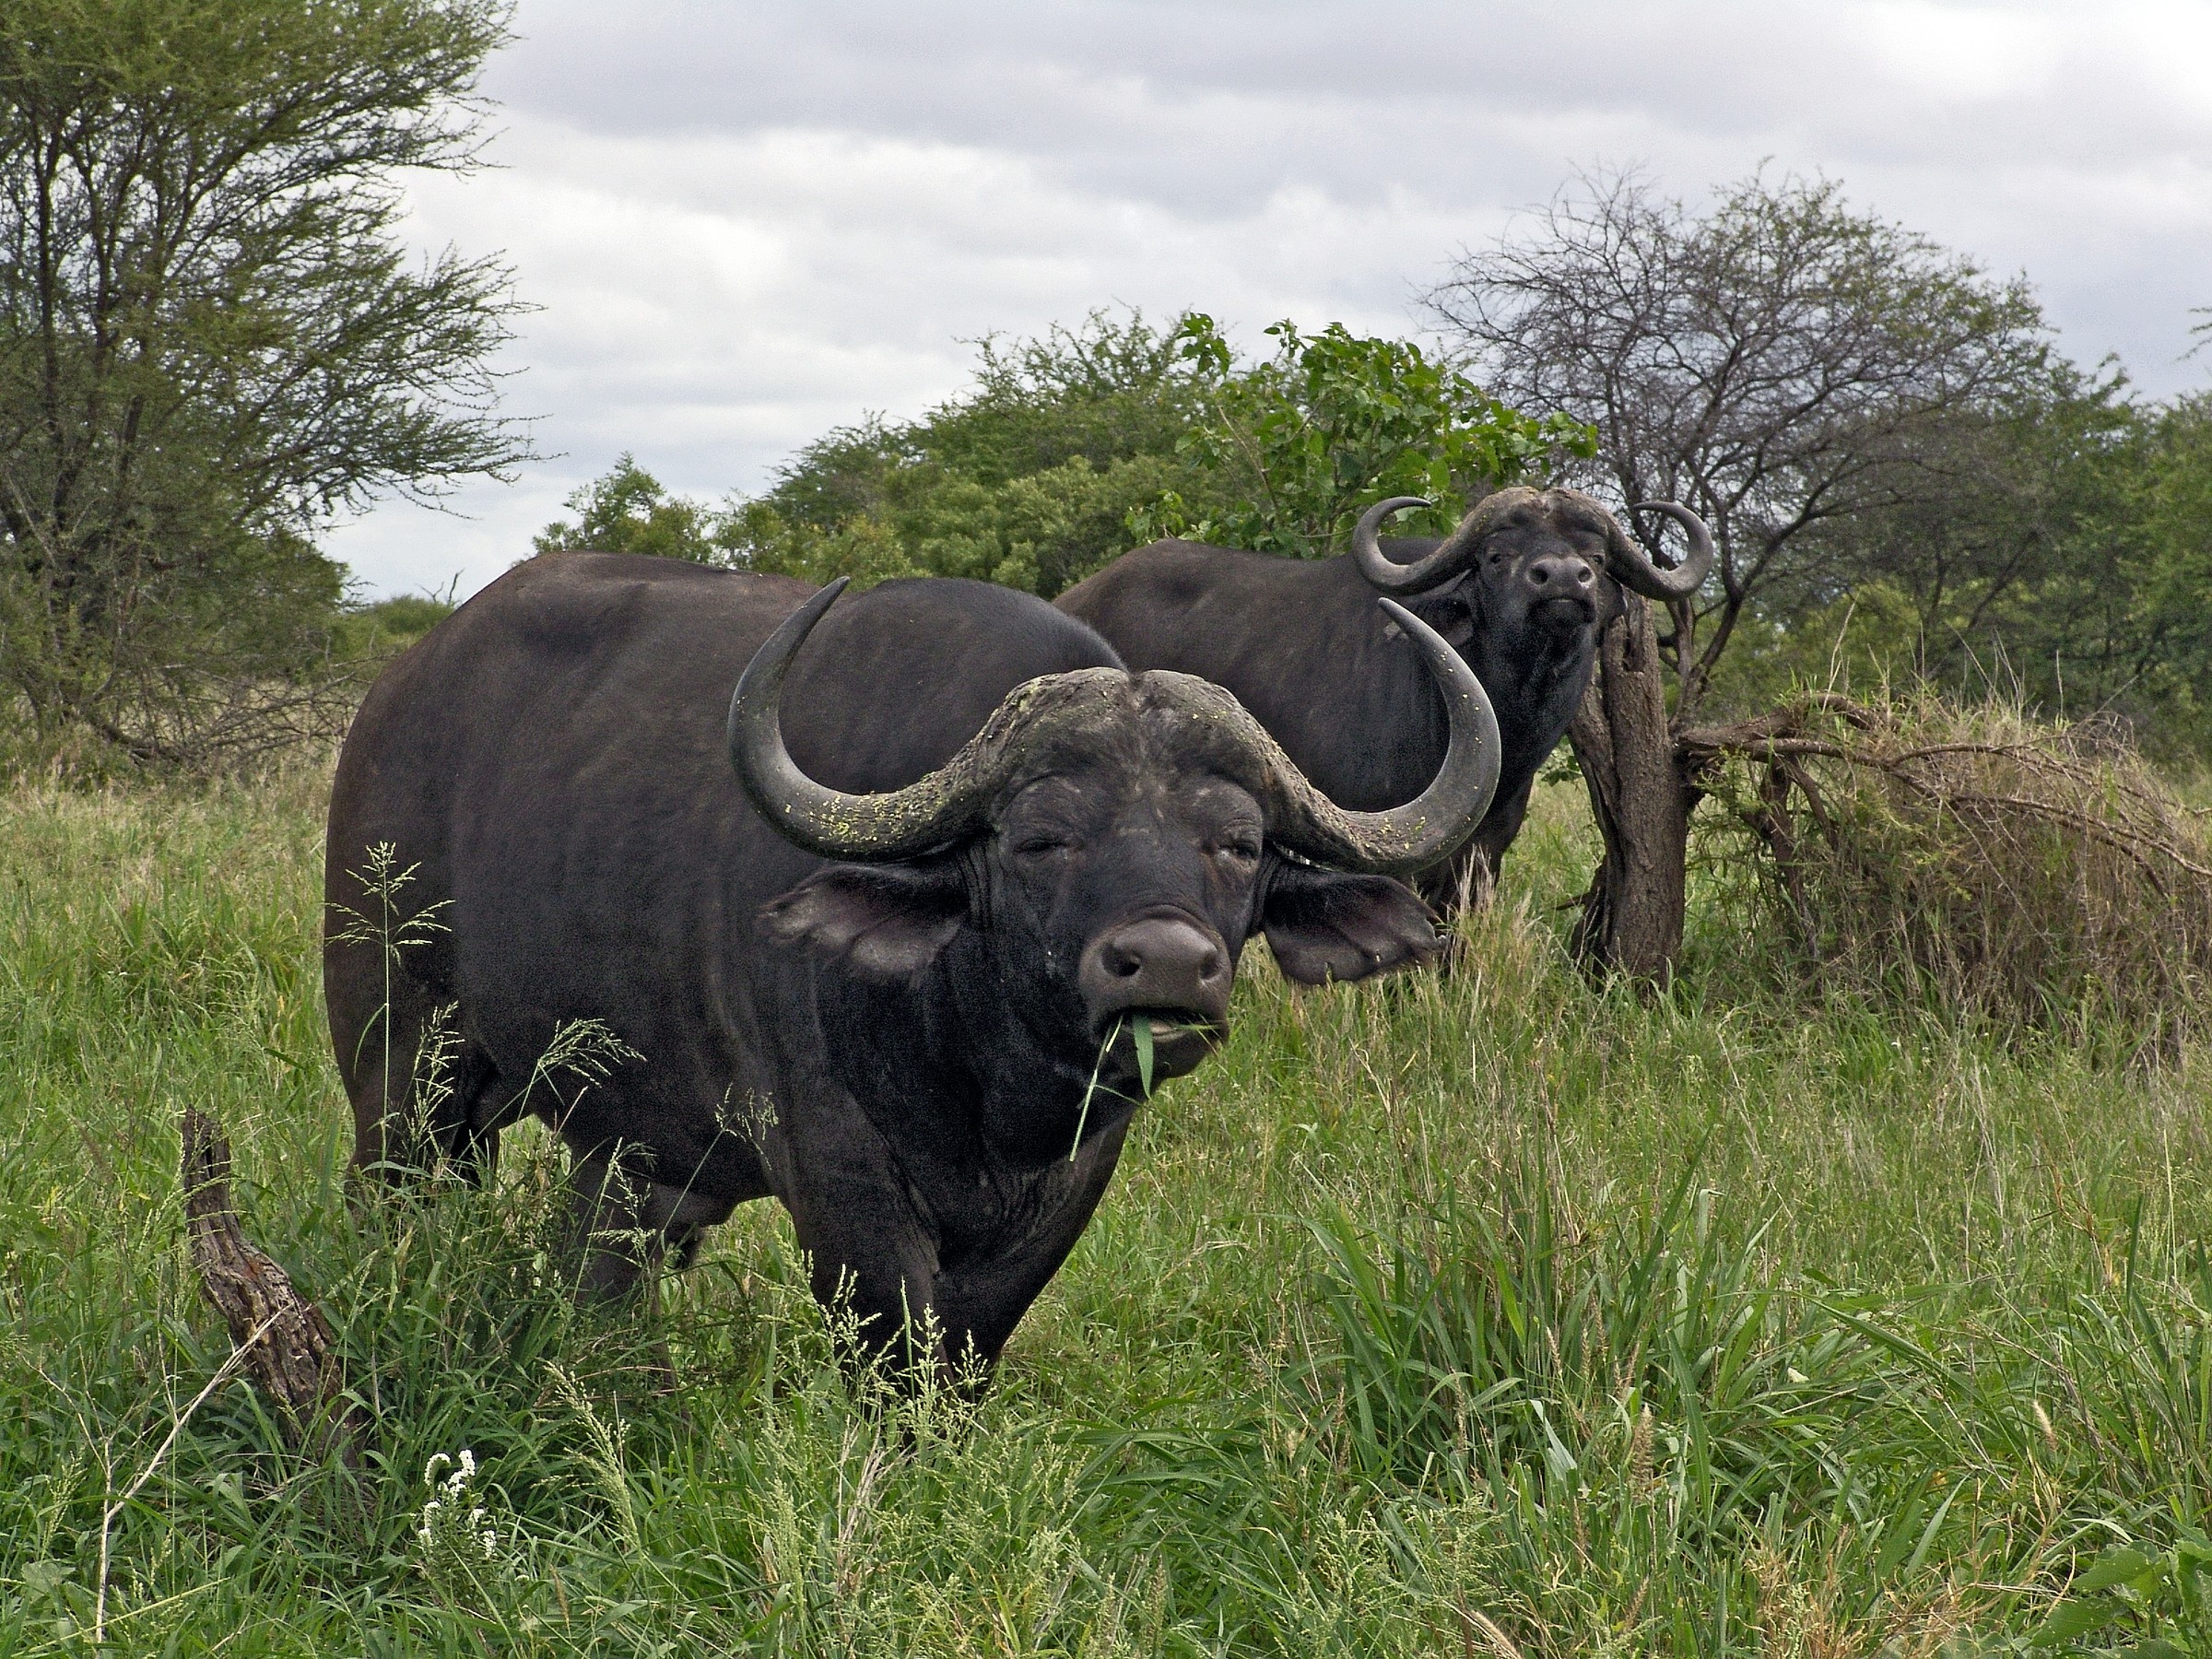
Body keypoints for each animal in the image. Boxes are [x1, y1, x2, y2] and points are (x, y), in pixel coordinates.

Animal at [325, 554, 1499, 1379]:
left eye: (1240, 843)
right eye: (1039, 839)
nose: (1165, 965)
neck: (979, 1077)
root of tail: (398, 693)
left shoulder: (1066, 1189)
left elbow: (969, 1351)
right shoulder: (840, 1183)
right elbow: (899, 1355)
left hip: (627, 1148)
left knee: (601, 1267)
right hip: (404, 1069)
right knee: (392, 1201)